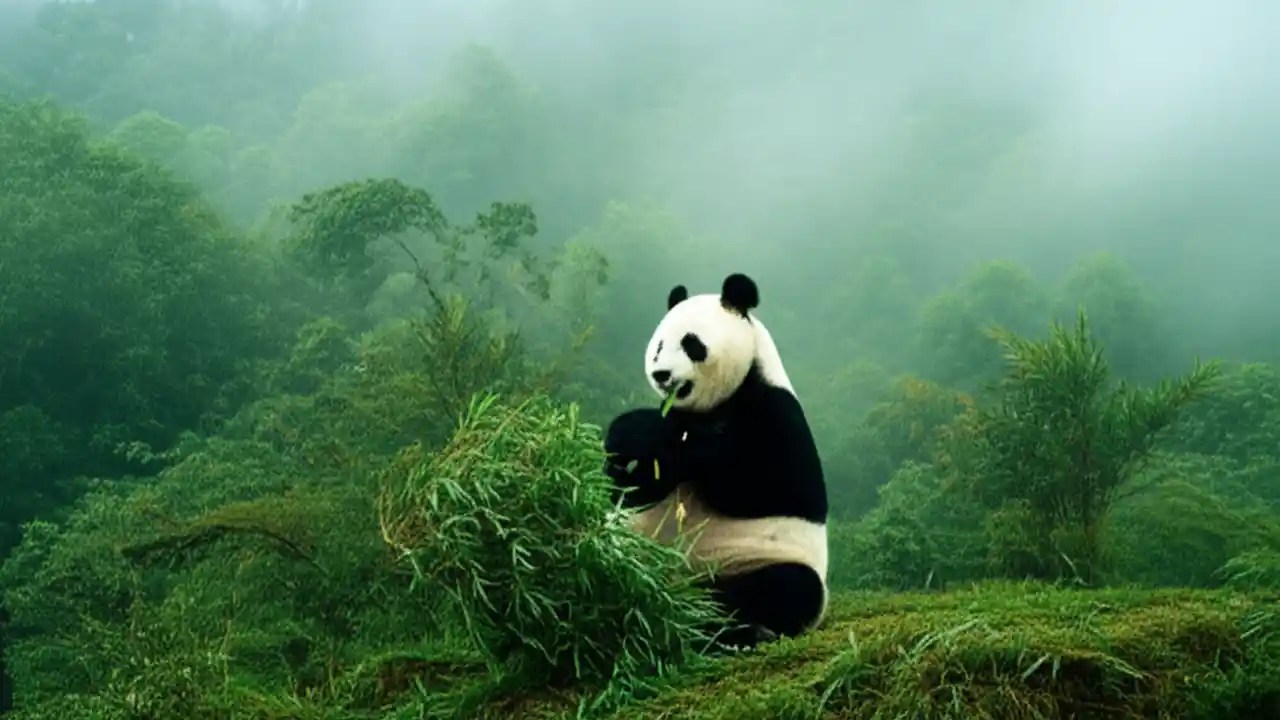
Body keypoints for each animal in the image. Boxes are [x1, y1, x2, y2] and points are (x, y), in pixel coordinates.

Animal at [602, 272, 829, 649]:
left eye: (691, 343)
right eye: (659, 346)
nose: (662, 374)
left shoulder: (775, 413)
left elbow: (760, 484)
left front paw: (641, 431)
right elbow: (640, 490)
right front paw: (622, 456)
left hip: (751, 561)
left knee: (787, 588)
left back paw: (720, 624)